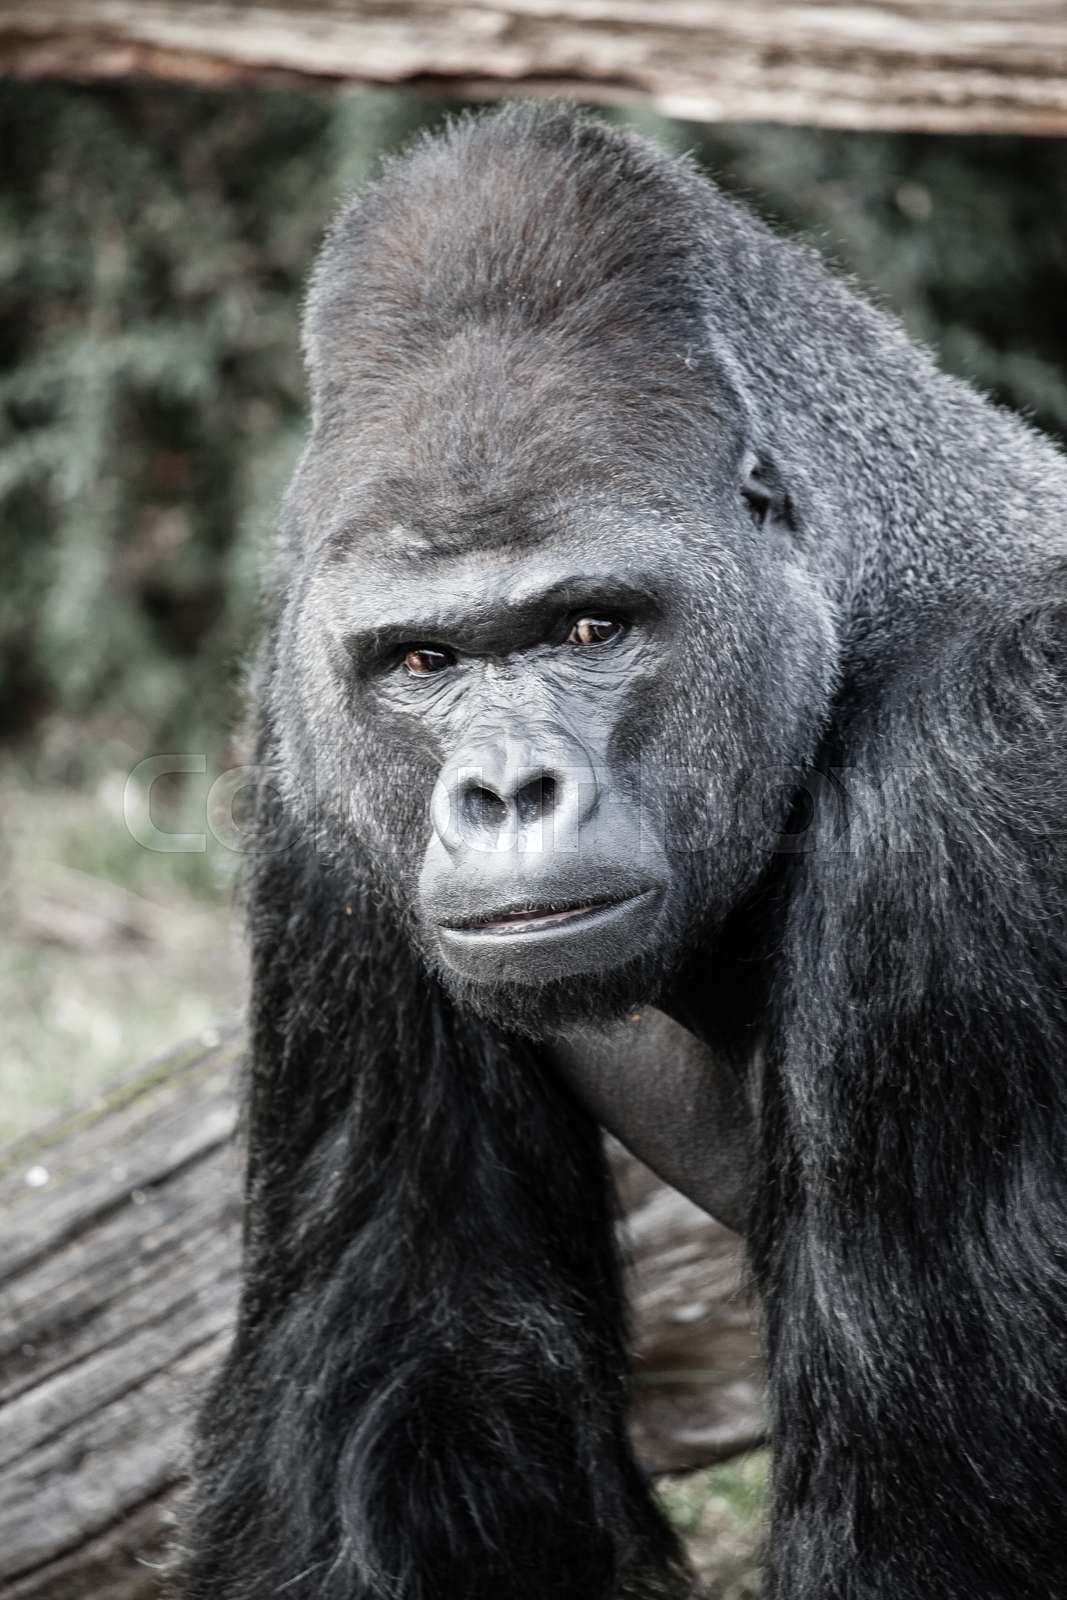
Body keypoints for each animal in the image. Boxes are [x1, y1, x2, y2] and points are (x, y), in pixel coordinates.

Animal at [182, 102, 1067, 1600]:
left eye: (591, 626)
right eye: (420, 662)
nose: (504, 789)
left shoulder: (972, 787)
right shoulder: (308, 781)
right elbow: (402, 1402)